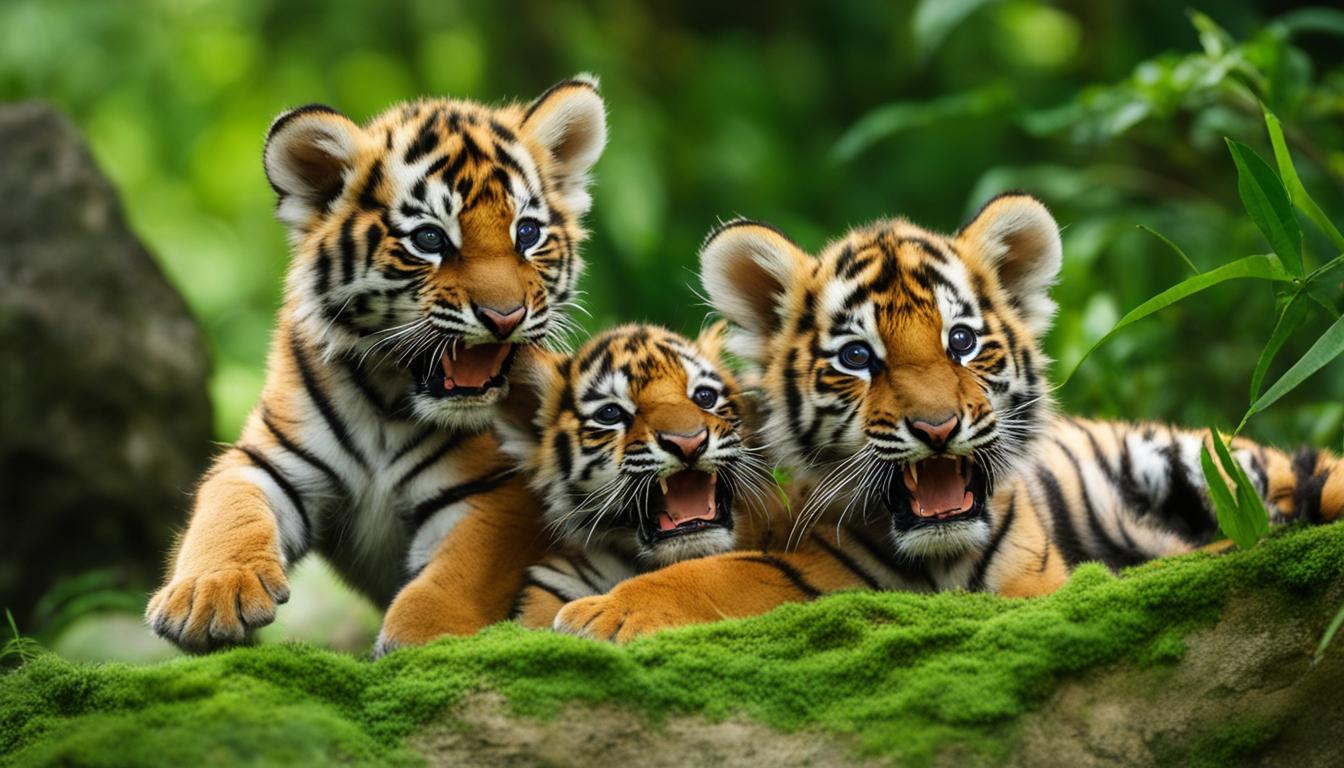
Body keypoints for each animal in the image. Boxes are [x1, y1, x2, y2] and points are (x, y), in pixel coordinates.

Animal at [145, 76, 608, 654]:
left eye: (526, 234)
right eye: (430, 239)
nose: (505, 317)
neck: (390, 396)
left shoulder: (499, 491)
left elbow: (463, 570)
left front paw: (425, 635)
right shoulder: (270, 459)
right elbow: (227, 512)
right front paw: (208, 594)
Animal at [551, 193, 1344, 642]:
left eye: (960, 342)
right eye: (858, 357)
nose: (935, 429)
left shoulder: (1037, 589)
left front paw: (600, 612)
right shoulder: (819, 569)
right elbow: (728, 573)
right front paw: (604, 611)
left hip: (1197, 462)